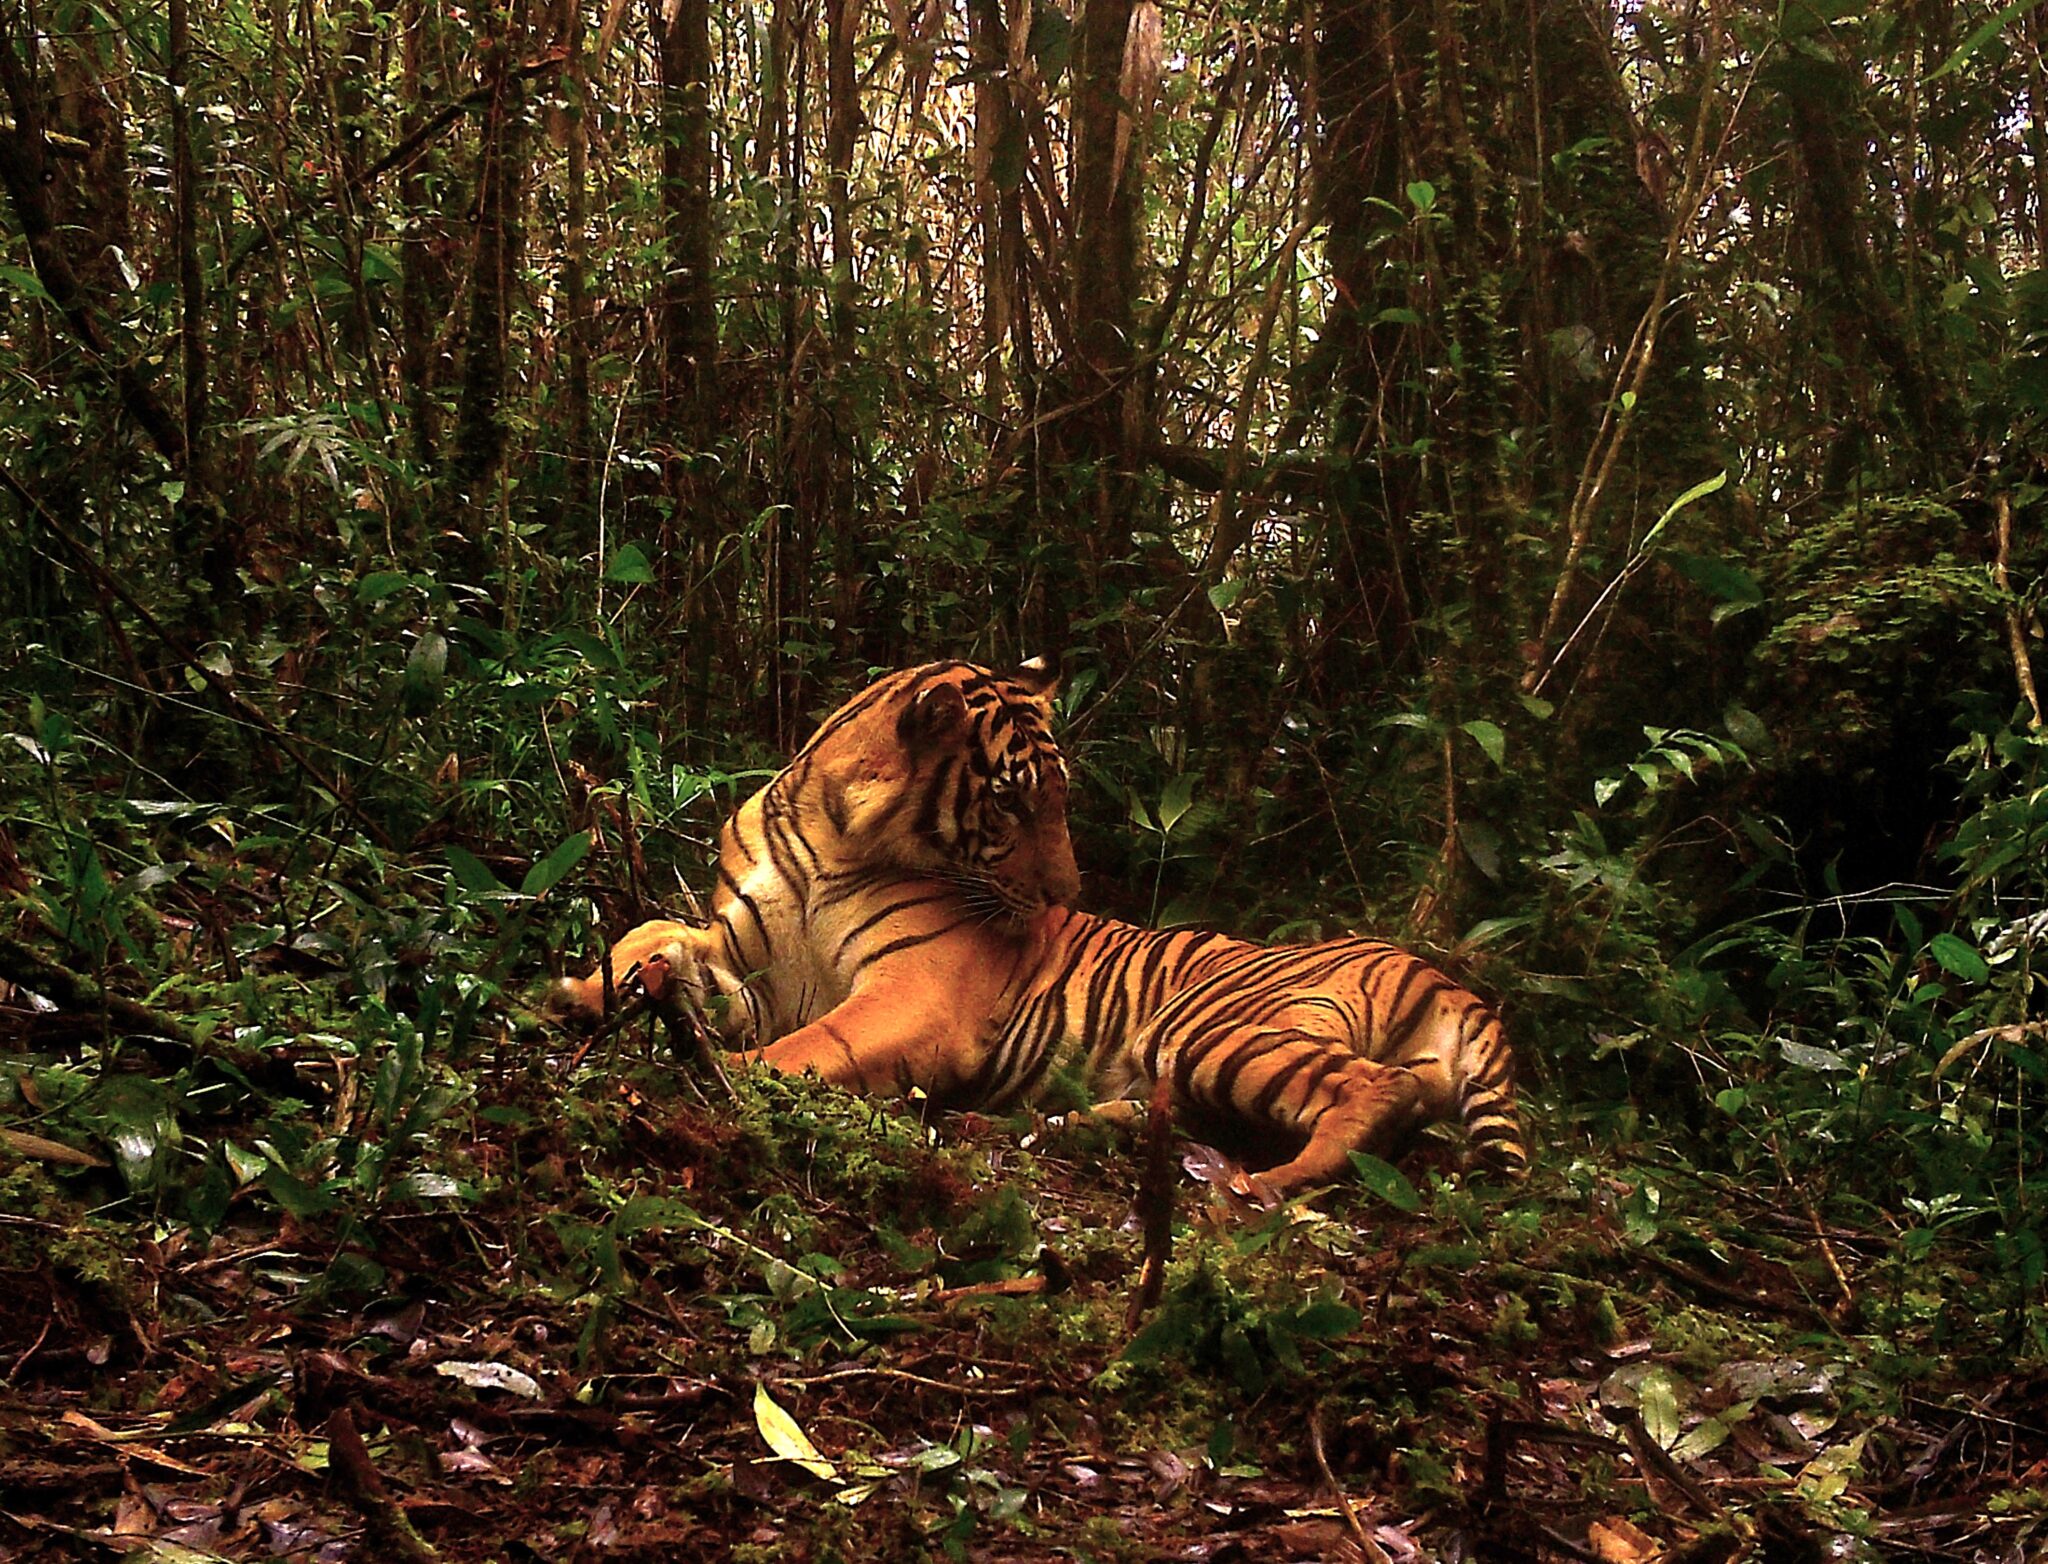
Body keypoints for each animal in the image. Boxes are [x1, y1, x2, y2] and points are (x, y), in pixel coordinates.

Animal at [551, 660, 1526, 1202]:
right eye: (1013, 801)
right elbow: (647, 931)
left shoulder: (914, 997)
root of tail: (1448, 979)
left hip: (1209, 1026)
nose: (1070, 887)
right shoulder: (743, 952)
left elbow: (811, 1045)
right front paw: (576, 993)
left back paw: (1268, 1186)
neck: (837, 833)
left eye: (1057, 800)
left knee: (1374, 1093)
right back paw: (1055, 1129)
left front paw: (724, 1073)